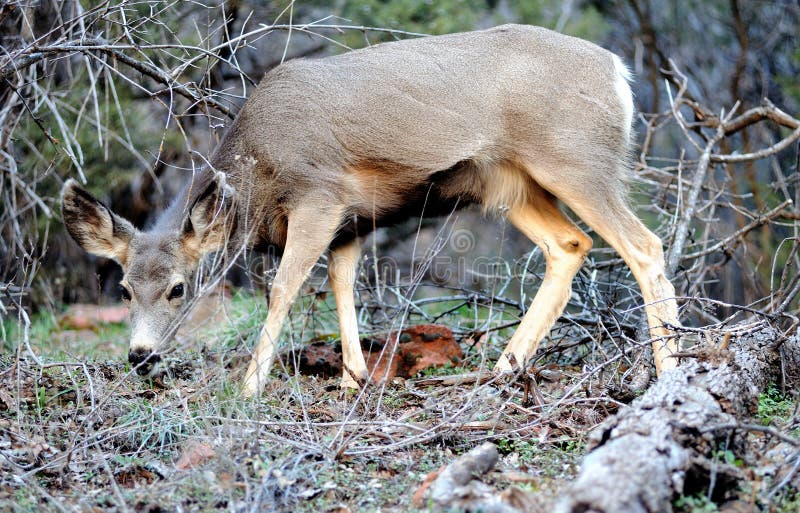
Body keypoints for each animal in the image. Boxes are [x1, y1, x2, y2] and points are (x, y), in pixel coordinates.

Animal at [61, 24, 681, 396]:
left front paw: (250, 387)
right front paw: (354, 377)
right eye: (123, 290)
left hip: (574, 159)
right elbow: (343, 283)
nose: (140, 356)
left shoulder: (319, 196)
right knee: (571, 245)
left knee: (645, 245)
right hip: (510, 186)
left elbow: (283, 287)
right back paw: (505, 366)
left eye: (178, 289)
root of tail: (619, 73)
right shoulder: (351, 221)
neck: (257, 171)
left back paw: (669, 370)